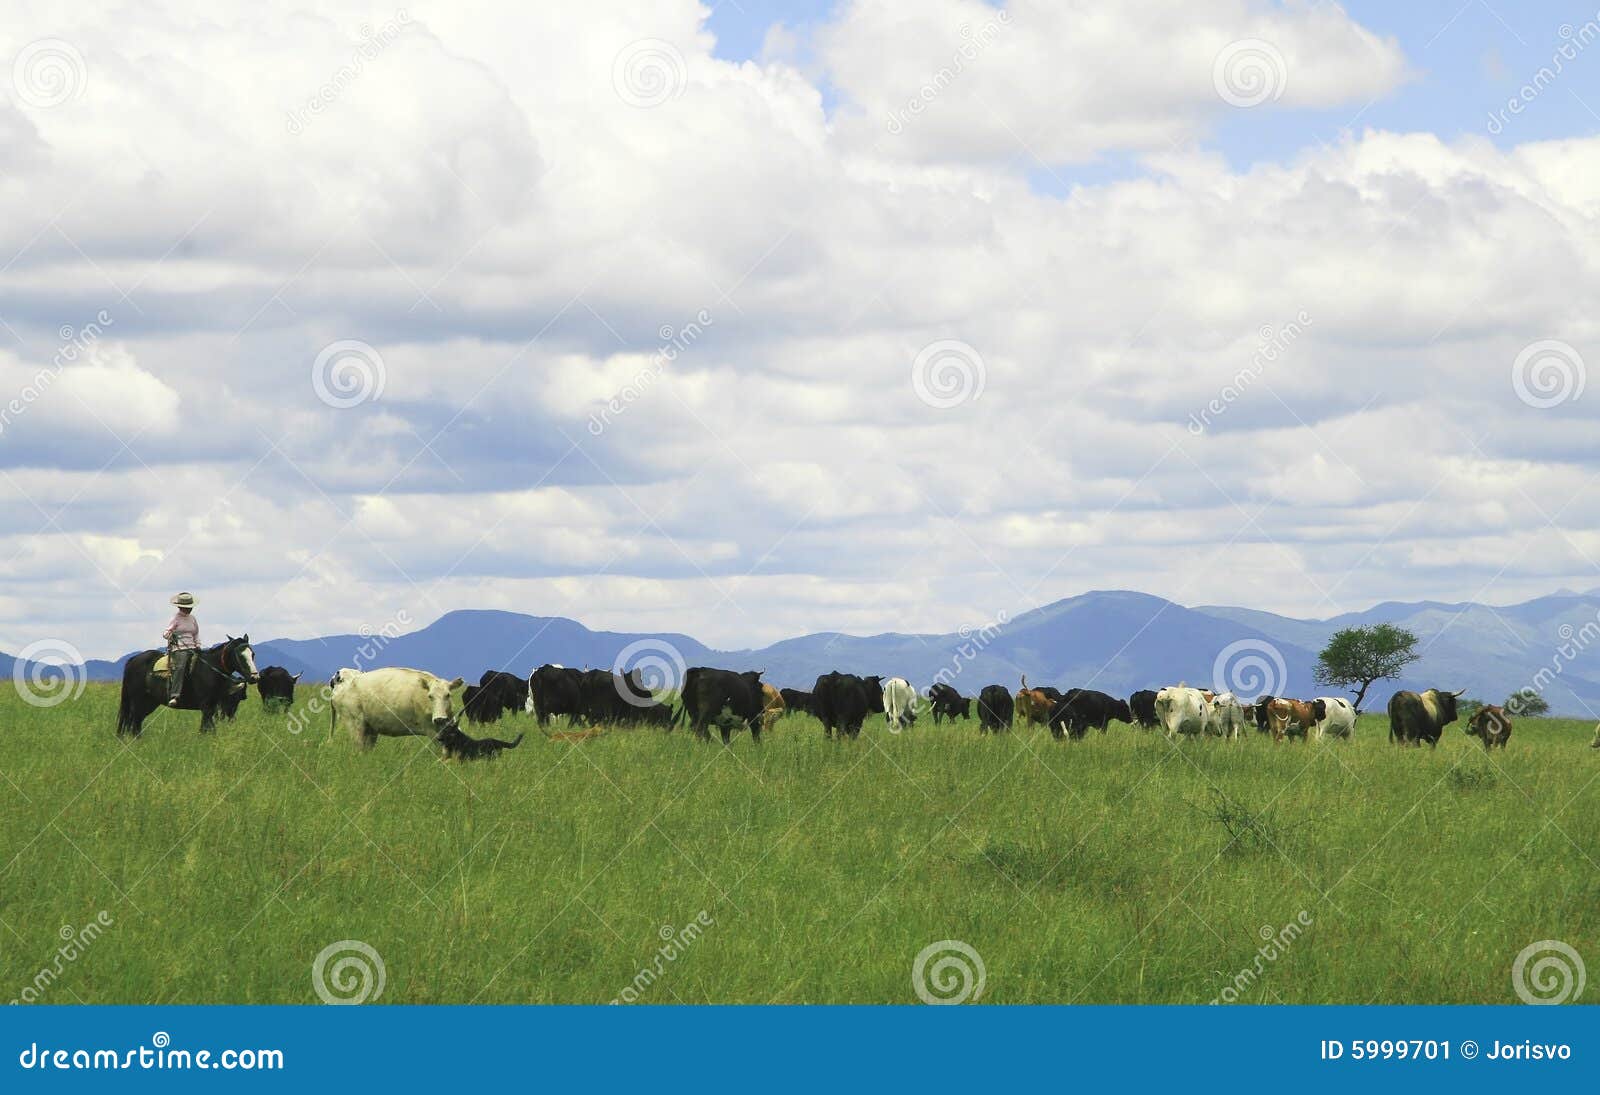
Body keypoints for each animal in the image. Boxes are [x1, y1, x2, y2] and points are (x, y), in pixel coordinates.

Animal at [329, 666, 465, 749]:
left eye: (448, 695)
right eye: (430, 696)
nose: (439, 719)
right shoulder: (432, 731)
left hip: (370, 729)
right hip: (354, 724)